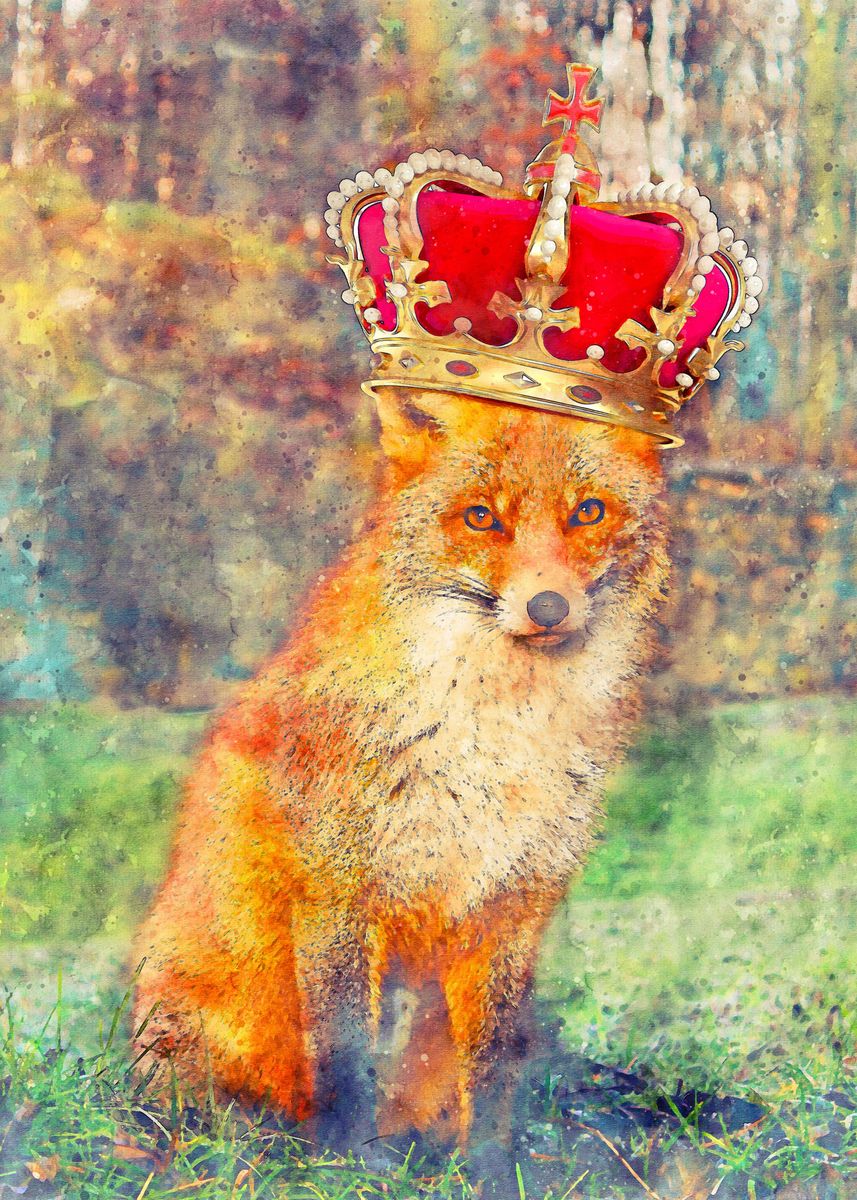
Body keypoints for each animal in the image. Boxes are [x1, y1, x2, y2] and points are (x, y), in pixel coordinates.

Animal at [131, 385, 670, 1191]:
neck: (495, 741)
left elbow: (492, 1070)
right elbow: (347, 1056)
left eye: (587, 511)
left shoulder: (512, 908)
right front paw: (347, 1165)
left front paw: (492, 1171)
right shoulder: (339, 895)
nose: (547, 608)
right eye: (481, 517)